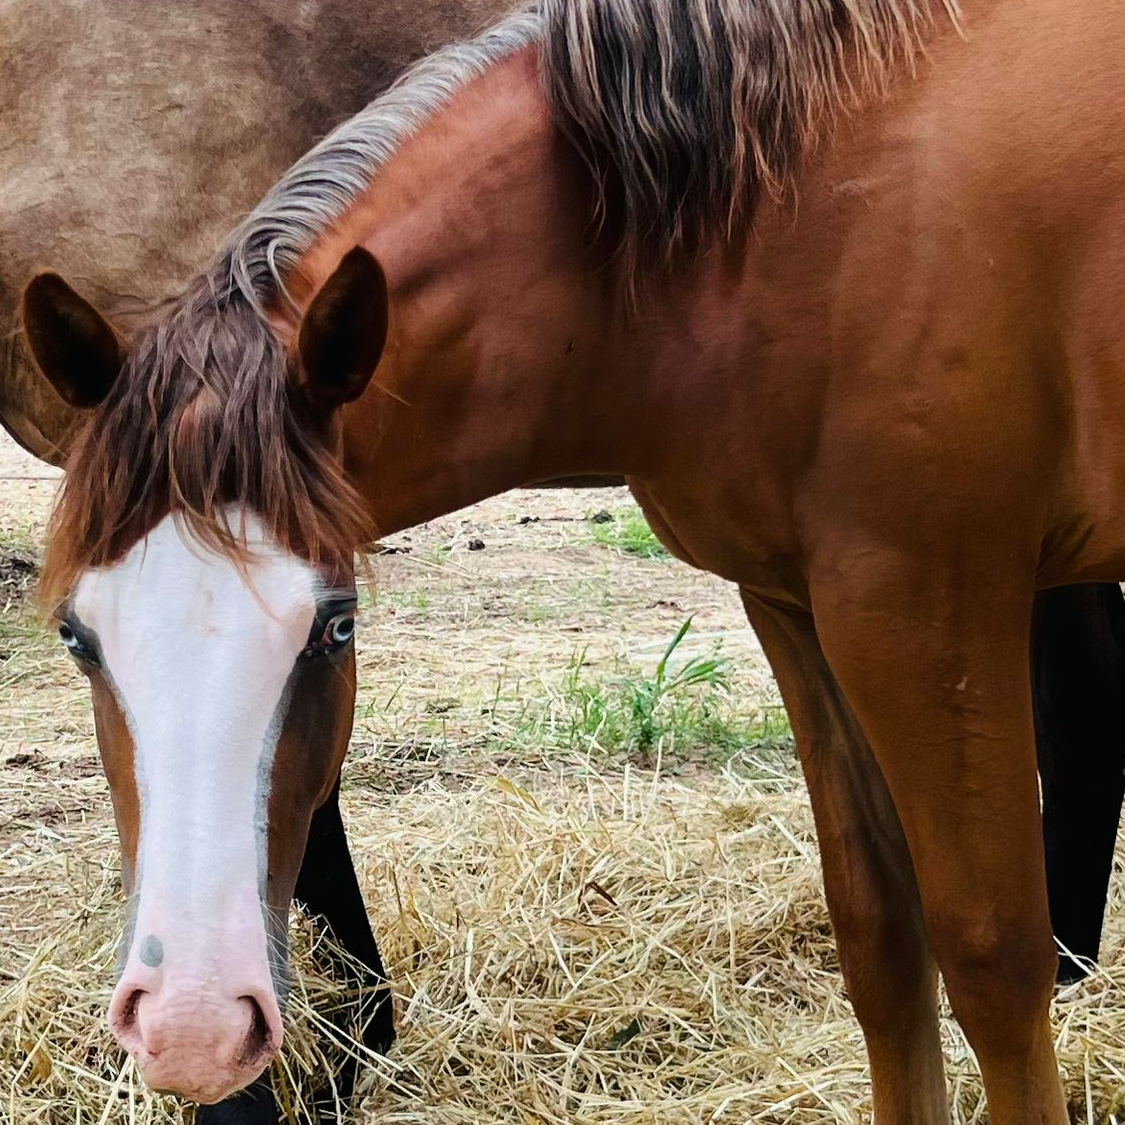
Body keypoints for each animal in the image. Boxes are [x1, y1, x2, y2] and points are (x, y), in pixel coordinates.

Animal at [8, 0, 1125, 1120]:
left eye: (336, 625)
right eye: (77, 637)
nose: (192, 1025)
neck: (775, 218)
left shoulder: (928, 605)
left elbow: (990, 962)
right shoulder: (795, 606)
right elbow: (881, 942)